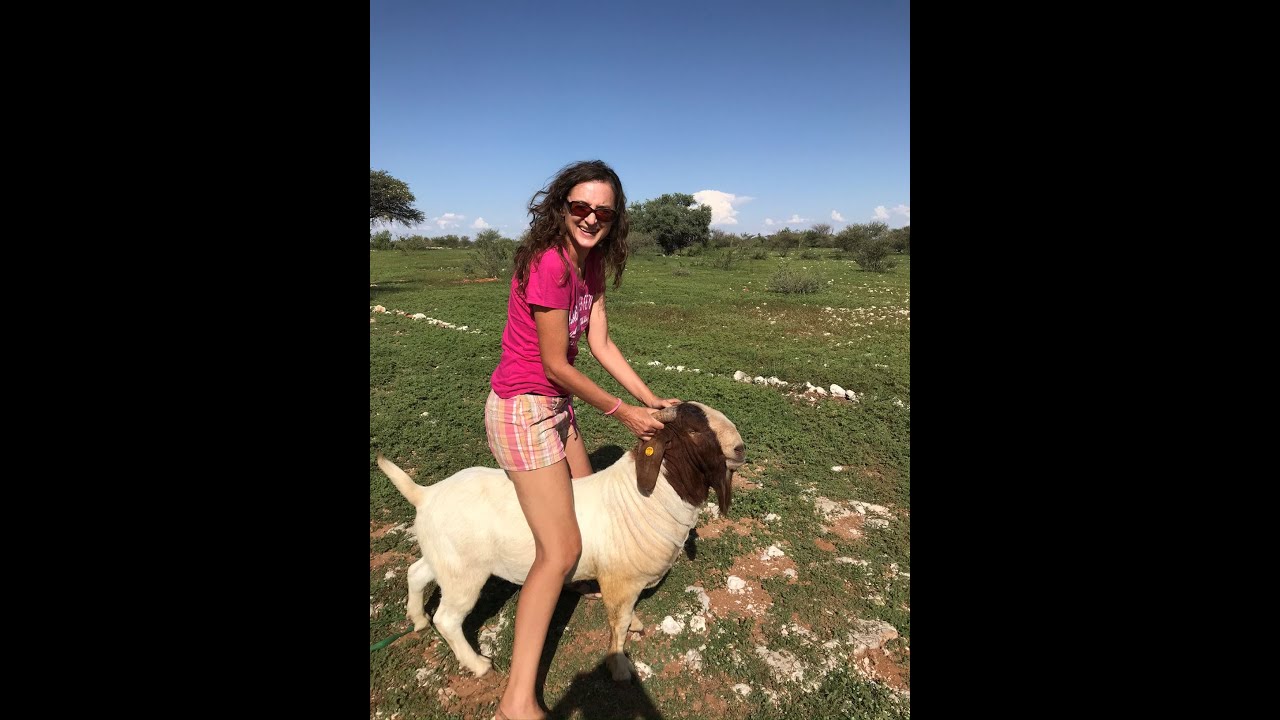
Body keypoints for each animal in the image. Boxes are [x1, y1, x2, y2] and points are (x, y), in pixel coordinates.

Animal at [376, 401, 745, 681]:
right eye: (694, 431)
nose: (741, 448)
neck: (646, 497)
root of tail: (425, 495)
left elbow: (628, 617)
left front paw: (636, 627)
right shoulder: (619, 582)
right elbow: (619, 623)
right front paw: (619, 667)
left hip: (444, 559)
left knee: (416, 573)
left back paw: (417, 619)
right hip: (465, 574)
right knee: (448, 619)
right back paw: (478, 664)